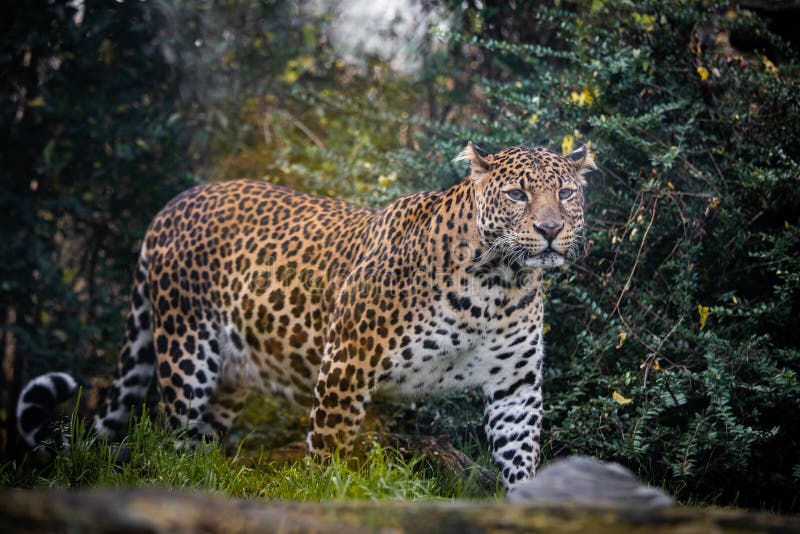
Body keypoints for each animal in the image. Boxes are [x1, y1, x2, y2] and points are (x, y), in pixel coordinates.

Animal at [17, 142, 594, 488]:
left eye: (565, 192)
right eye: (517, 194)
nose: (549, 229)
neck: (496, 286)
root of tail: (174, 203)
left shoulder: (515, 384)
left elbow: (520, 455)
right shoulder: (348, 363)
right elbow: (331, 448)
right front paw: (329, 492)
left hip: (232, 375)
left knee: (201, 437)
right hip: (186, 349)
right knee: (171, 435)